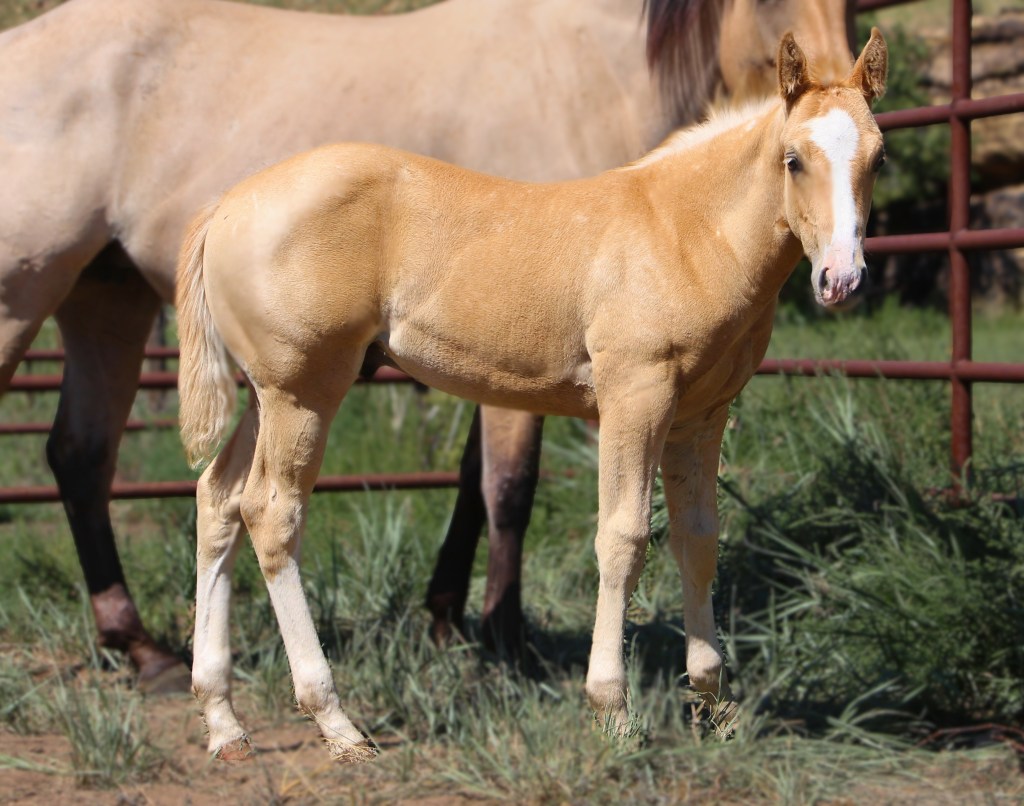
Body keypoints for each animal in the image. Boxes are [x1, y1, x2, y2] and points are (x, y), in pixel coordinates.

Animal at [0, 0, 855, 689]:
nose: (834, 81)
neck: (582, 71)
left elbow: (476, 481)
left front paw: (448, 616)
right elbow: (509, 487)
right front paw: (504, 642)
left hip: (106, 303)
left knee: (82, 456)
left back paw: (142, 648)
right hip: (27, 303)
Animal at [175, 29, 888, 760]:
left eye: (878, 156)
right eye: (793, 159)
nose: (841, 278)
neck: (685, 232)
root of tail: (227, 205)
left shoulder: (700, 416)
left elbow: (697, 540)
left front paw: (713, 705)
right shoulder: (636, 397)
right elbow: (624, 538)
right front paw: (612, 711)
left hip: (265, 397)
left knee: (219, 500)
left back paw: (222, 718)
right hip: (304, 392)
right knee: (271, 513)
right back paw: (336, 722)